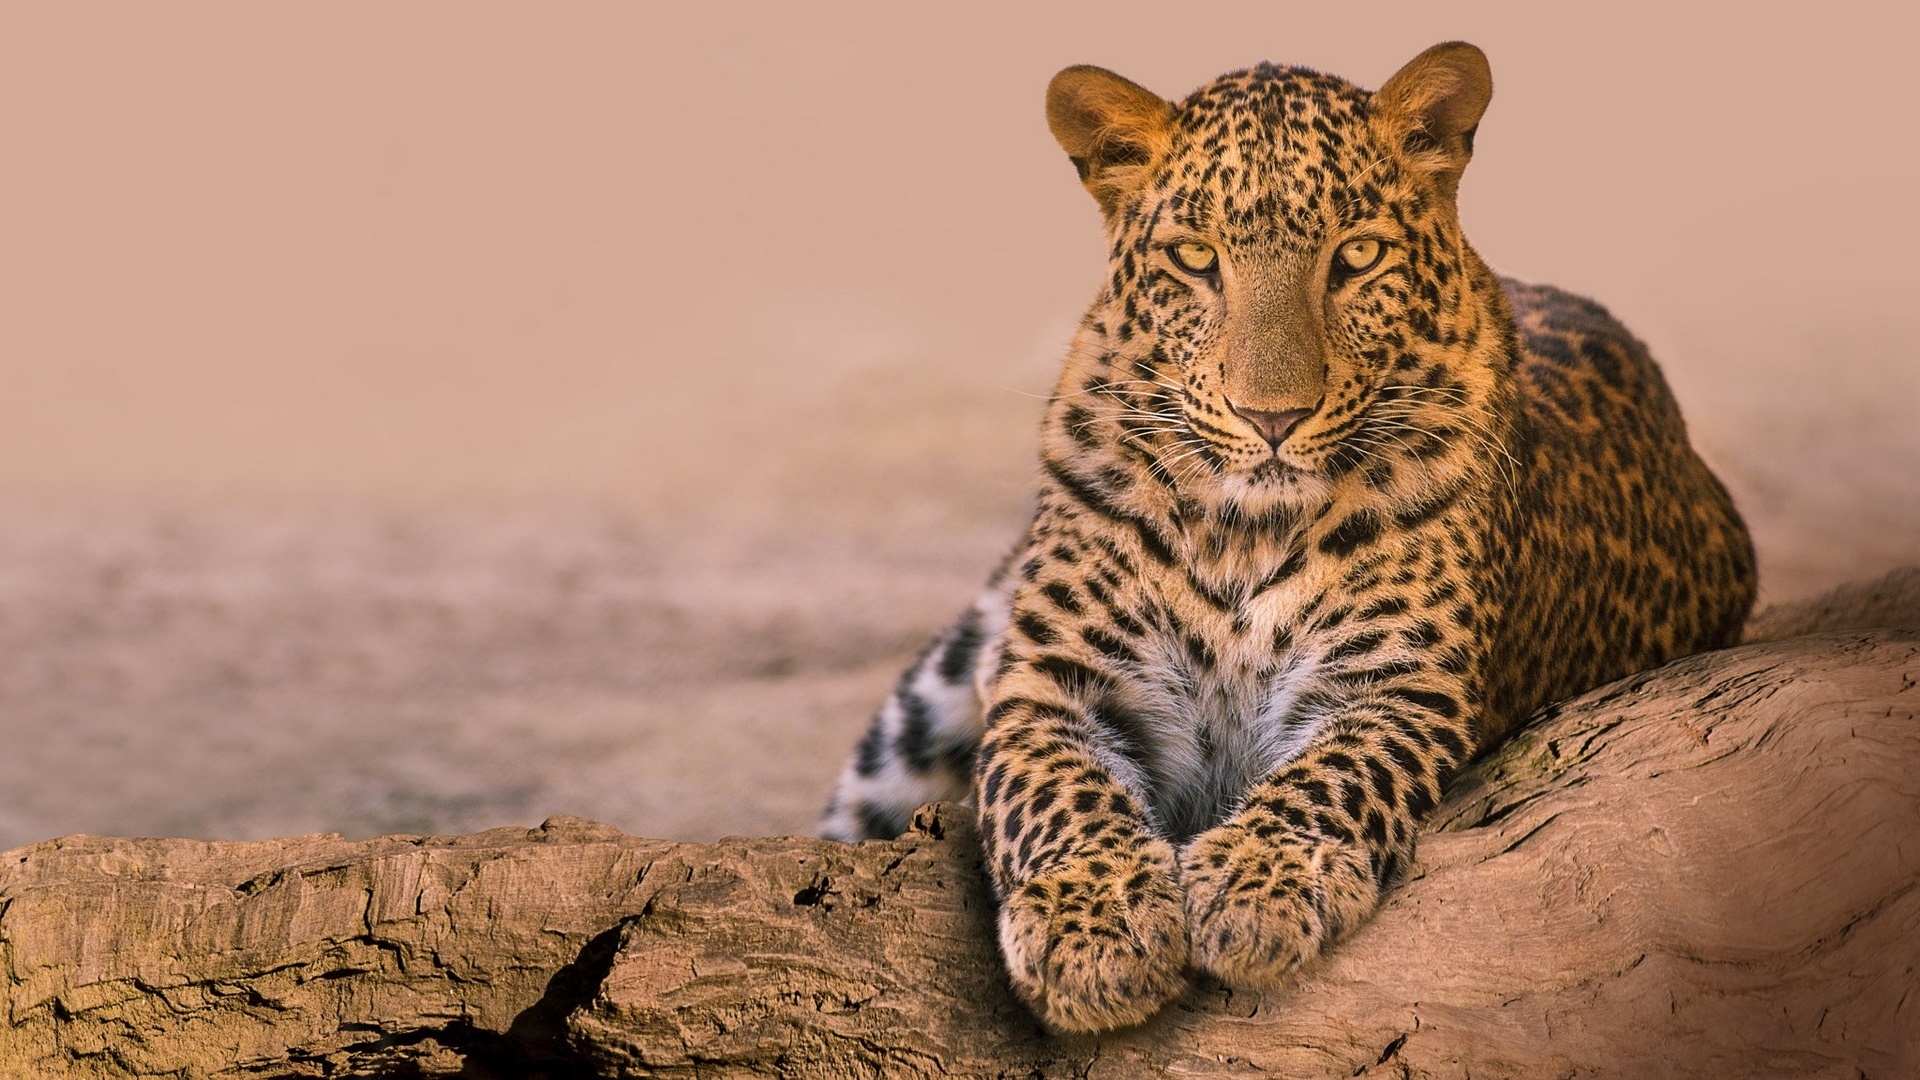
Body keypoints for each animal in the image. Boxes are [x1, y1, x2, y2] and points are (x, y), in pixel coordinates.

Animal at [819, 41, 1756, 1034]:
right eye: (1196, 259)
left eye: (1358, 255)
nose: (1273, 418)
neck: (1241, 530)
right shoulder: (1055, 686)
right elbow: (1058, 793)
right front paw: (1094, 928)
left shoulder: (1393, 688)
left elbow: (1331, 776)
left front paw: (1258, 886)